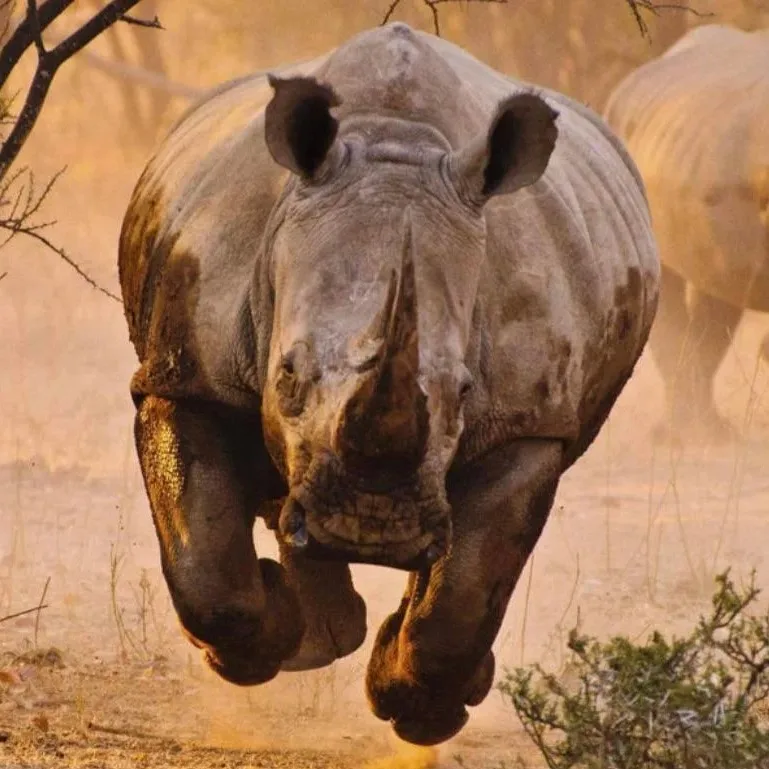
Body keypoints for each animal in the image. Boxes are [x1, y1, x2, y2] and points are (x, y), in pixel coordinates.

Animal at [118, 23, 659, 746]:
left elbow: (464, 595)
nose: (369, 525)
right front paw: (262, 643)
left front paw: (420, 710)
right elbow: (207, 572)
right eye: (286, 374)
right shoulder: (184, 372)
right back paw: (317, 637)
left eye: (464, 392)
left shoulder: (529, 423)